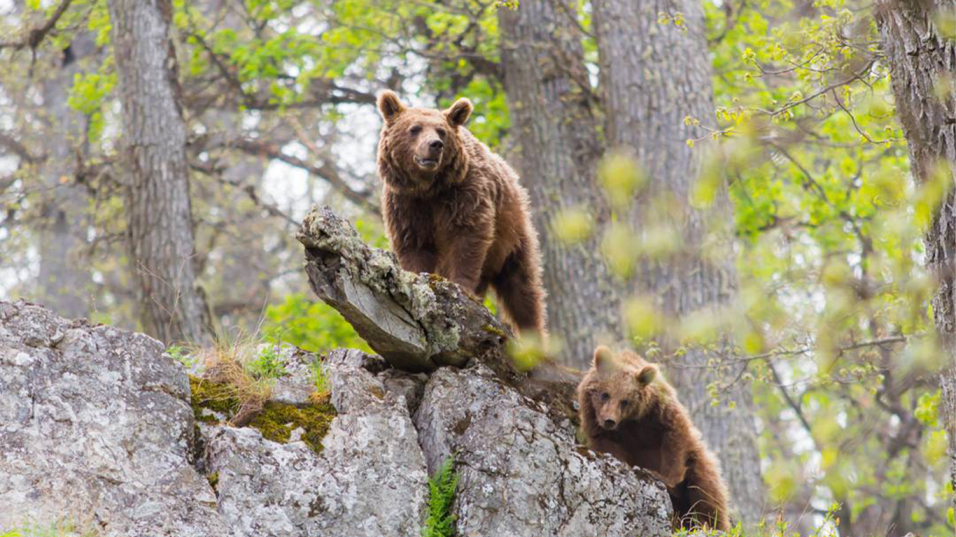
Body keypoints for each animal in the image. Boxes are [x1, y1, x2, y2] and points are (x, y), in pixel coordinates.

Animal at [376, 90, 546, 337]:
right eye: (415, 128)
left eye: (441, 131)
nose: (435, 145)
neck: (429, 189)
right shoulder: (407, 205)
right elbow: (414, 244)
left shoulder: (465, 194)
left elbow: (467, 237)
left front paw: (461, 287)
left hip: (512, 237)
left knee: (522, 290)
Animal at [577, 345, 731, 531]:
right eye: (605, 394)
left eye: (625, 401)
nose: (609, 420)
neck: (630, 422)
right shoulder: (597, 423)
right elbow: (609, 445)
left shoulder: (659, 412)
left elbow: (674, 440)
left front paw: (663, 476)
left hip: (699, 463)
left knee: (706, 496)